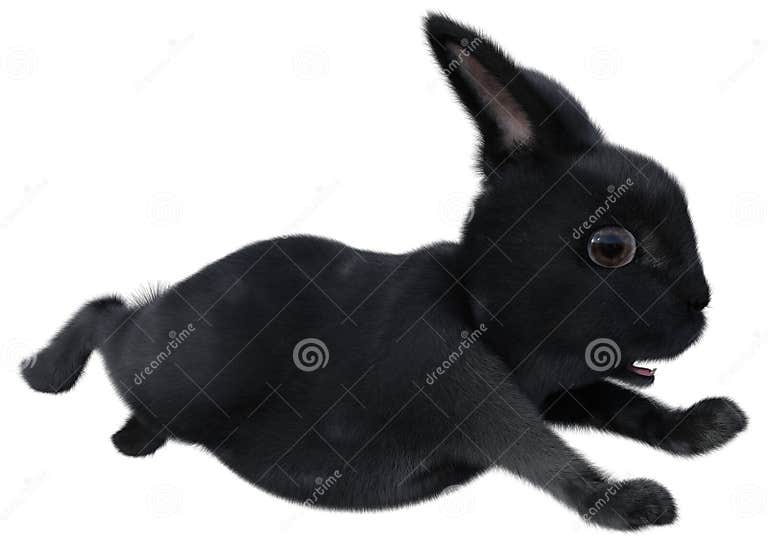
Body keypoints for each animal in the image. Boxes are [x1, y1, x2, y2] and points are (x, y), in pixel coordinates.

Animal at [21, 13, 747, 531]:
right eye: (611, 247)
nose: (702, 300)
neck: (478, 310)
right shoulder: (464, 389)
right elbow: (538, 451)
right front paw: (633, 503)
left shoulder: (562, 390)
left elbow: (621, 404)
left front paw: (705, 425)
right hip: (170, 367)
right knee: (109, 314)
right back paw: (61, 384)